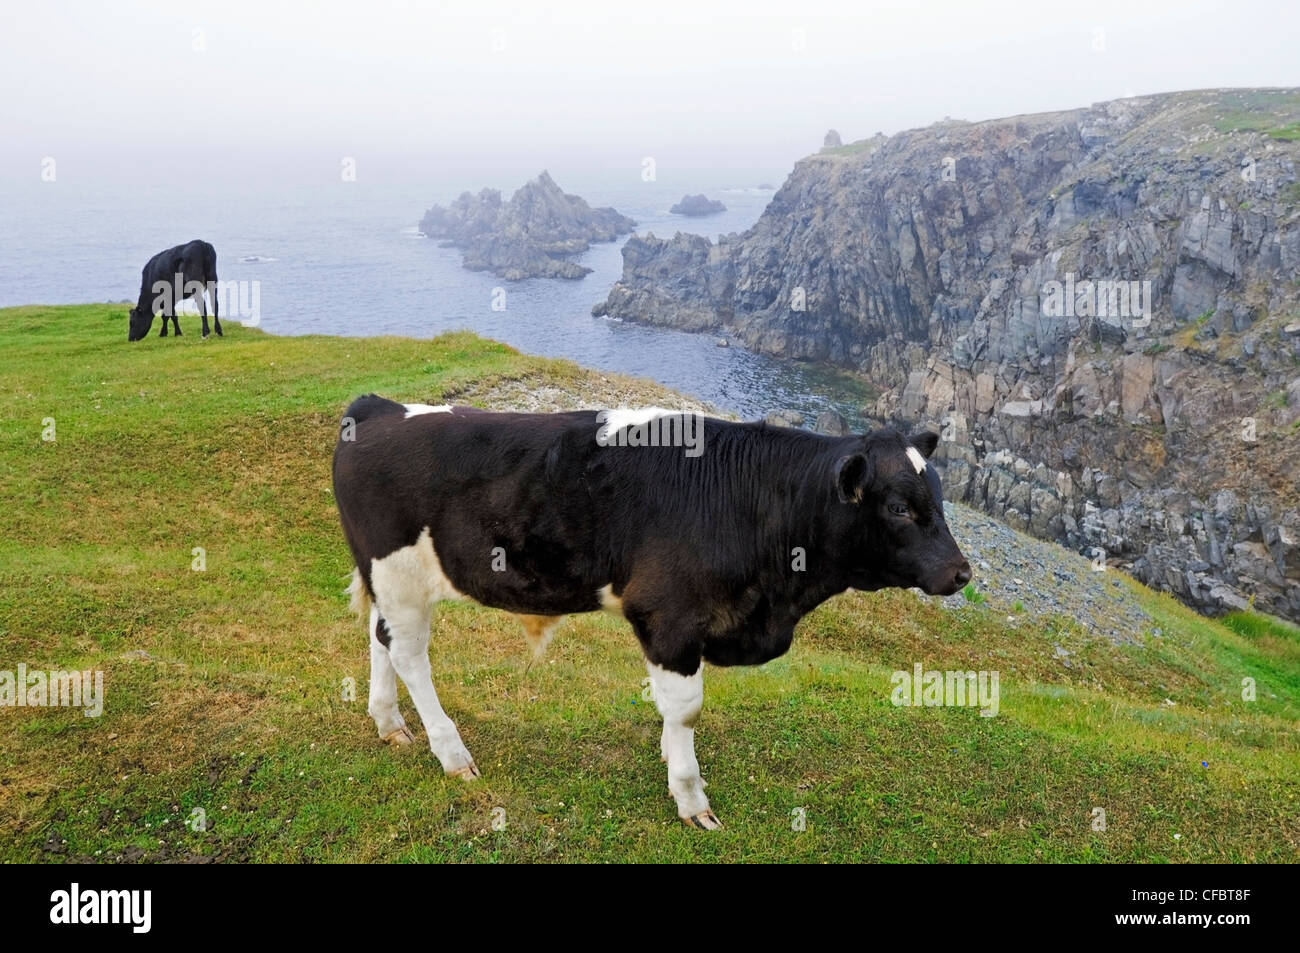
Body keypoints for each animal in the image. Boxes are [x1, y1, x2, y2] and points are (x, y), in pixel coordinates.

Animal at [332, 398, 971, 830]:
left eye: (939, 498)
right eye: (898, 507)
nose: (961, 573)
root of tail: (379, 407)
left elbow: (672, 709)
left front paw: (670, 756)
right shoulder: (670, 615)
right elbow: (686, 709)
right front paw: (691, 797)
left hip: (387, 581)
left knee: (381, 637)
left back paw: (389, 723)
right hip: (399, 574)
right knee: (411, 656)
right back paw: (451, 752)